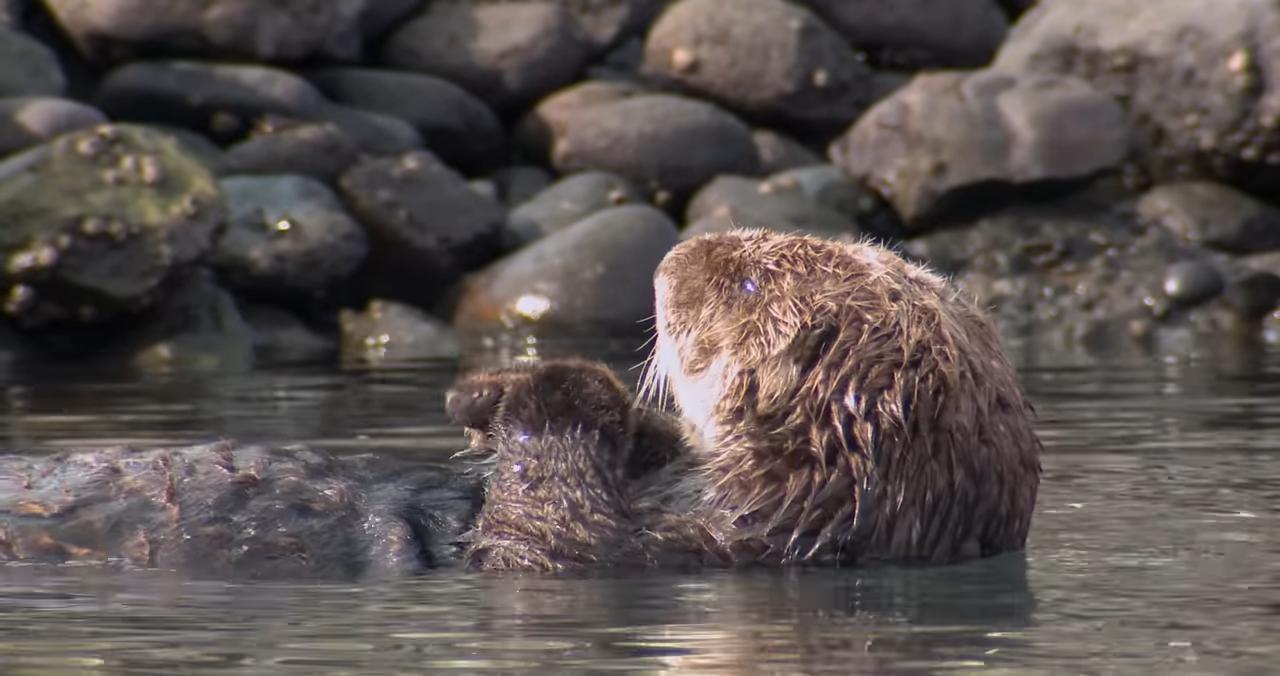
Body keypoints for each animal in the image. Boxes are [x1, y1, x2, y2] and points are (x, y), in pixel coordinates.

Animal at [450, 229, 1042, 571]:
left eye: (749, 285)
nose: (668, 259)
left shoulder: (702, 545)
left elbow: (541, 535)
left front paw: (566, 385)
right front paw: (483, 392)